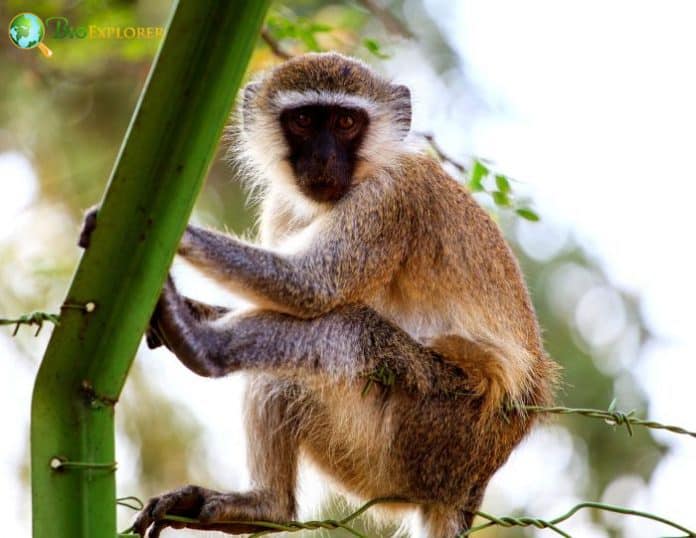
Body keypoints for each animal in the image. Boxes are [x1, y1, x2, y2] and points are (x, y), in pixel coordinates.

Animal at [81, 52, 558, 538]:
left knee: (347, 332)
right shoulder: (282, 204)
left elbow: (313, 287)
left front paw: (163, 235)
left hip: (439, 430)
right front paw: (199, 307)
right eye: (304, 120)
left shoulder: (389, 197)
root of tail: (471, 483)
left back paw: (204, 346)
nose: (324, 158)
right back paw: (265, 507)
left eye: (346, 122)